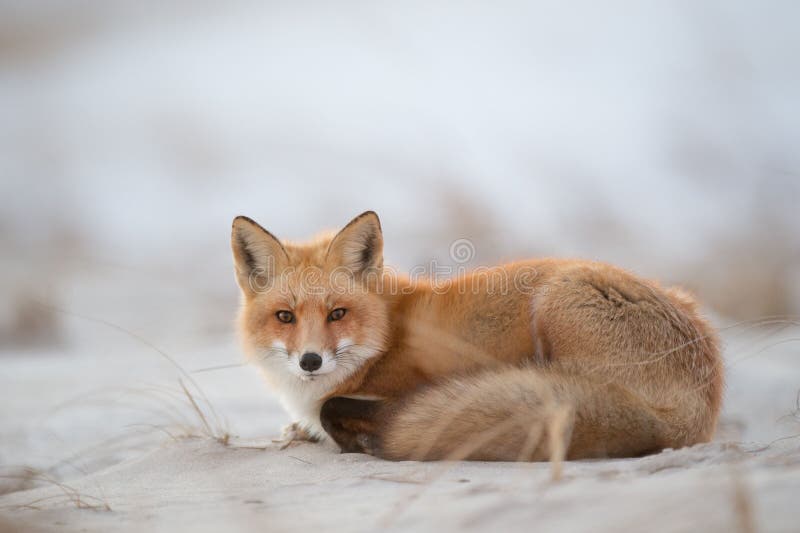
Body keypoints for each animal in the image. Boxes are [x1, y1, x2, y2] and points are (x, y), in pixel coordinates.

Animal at [231, 211, 723, 461]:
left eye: (337, 314)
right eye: (285, 316)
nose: (310, 361)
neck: (386, 336)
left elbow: (332, 409)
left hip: (555, 302)